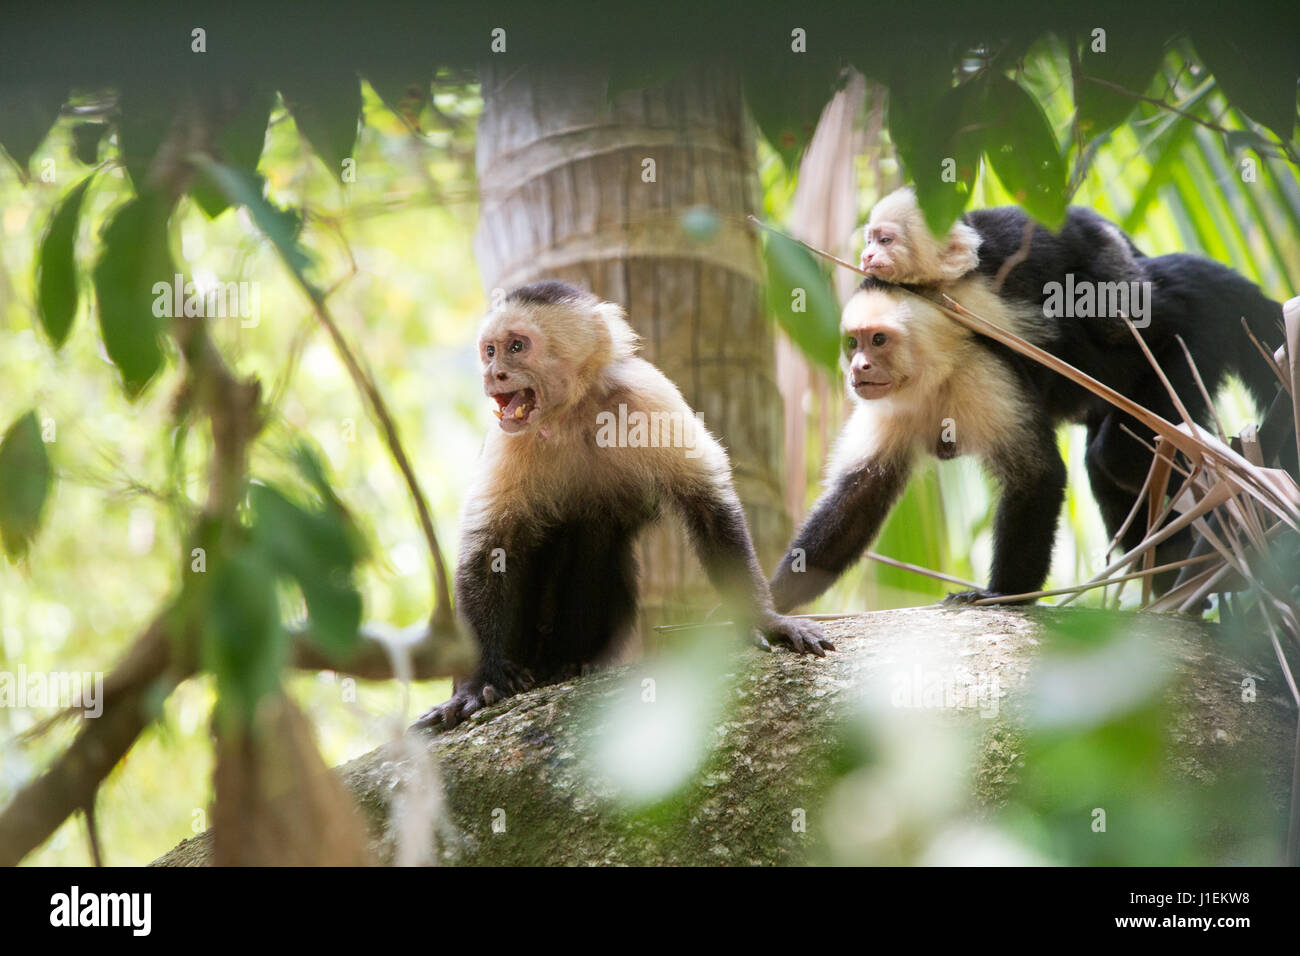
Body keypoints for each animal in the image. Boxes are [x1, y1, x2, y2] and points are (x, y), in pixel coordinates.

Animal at [415, 280, 833, 730]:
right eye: (490, 350)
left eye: (516, 346)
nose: (493, 374)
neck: (574, 411)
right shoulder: (509, 437)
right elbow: (491, 546)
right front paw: (477, 685)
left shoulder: (647, 394)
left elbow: (706, 501)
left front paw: (765, 620)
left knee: (596, 544)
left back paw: (571, 662)